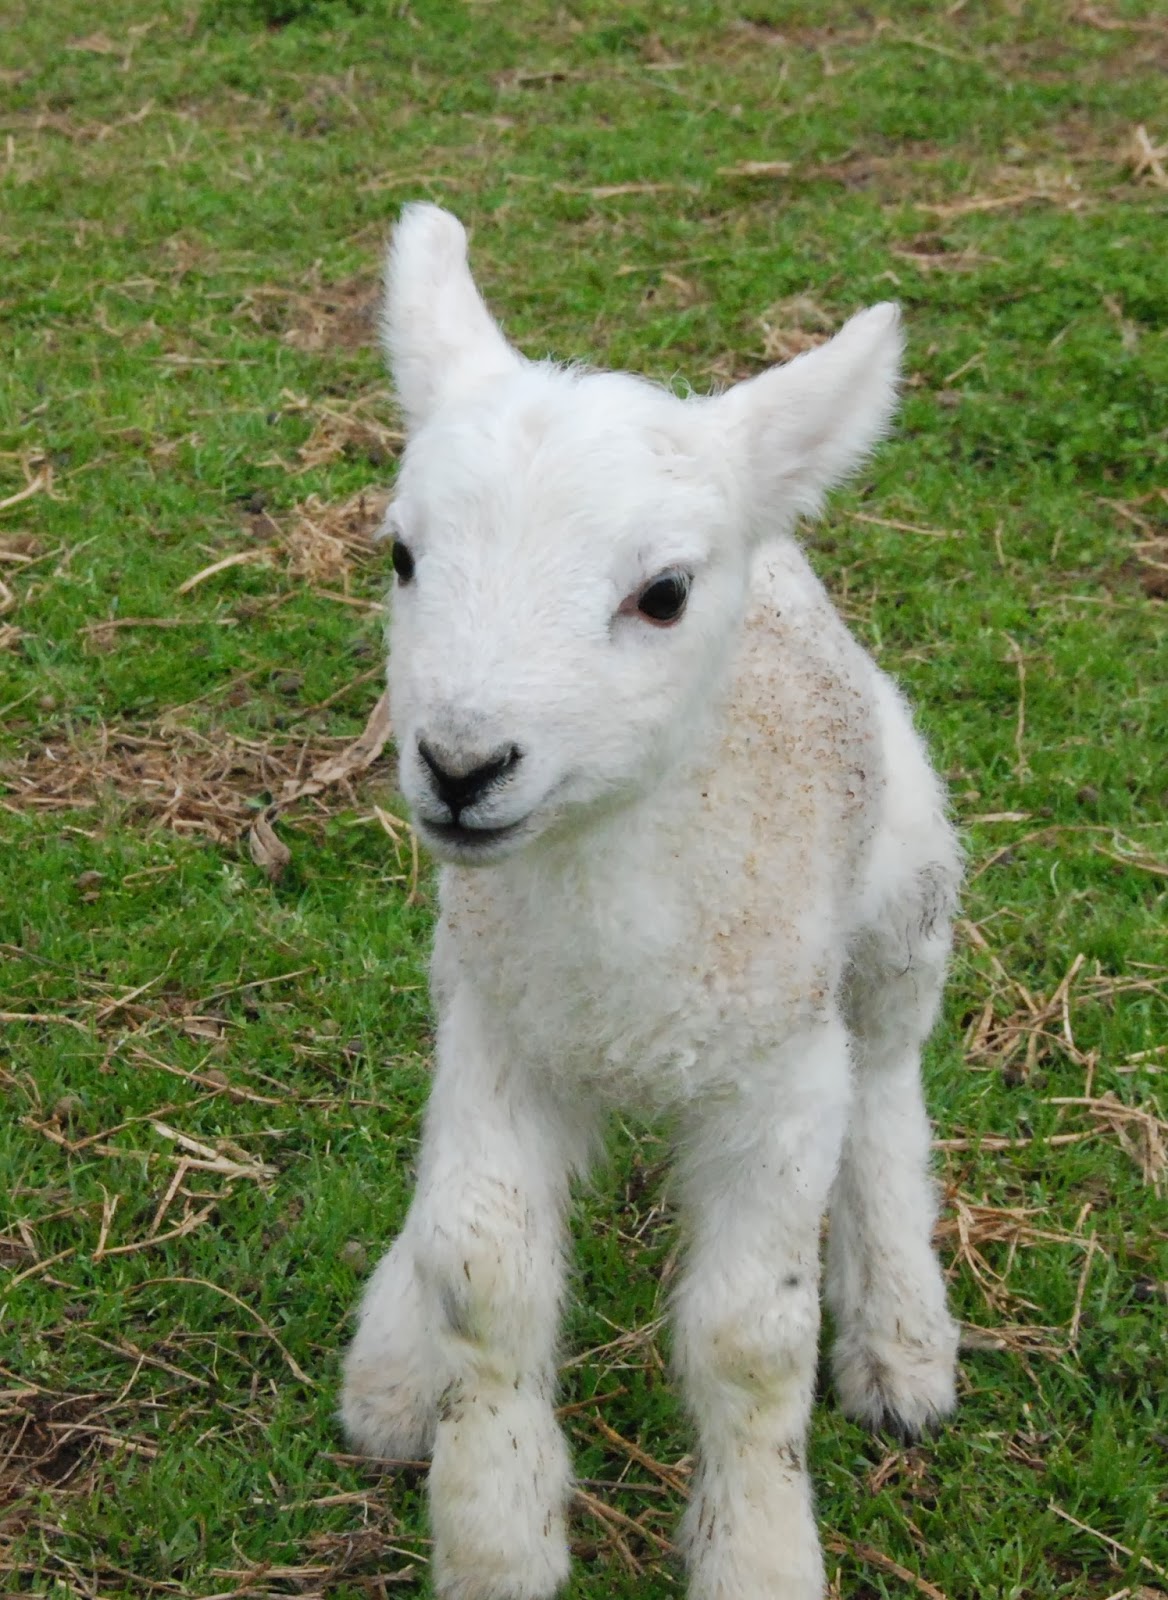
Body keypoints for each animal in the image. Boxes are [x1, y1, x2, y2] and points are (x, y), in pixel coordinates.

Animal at [340, 202, 961, 1600]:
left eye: (661, 593)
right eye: (402, 555)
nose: (462, 764)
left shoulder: (780, 1079)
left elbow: (749, 1337)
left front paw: (761, 1552)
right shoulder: (503, 1039)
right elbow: (482, 1273)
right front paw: (496, 1535)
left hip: (904, 894)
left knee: (890, 1083)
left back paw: (901, 1335)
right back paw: (395, 1359)